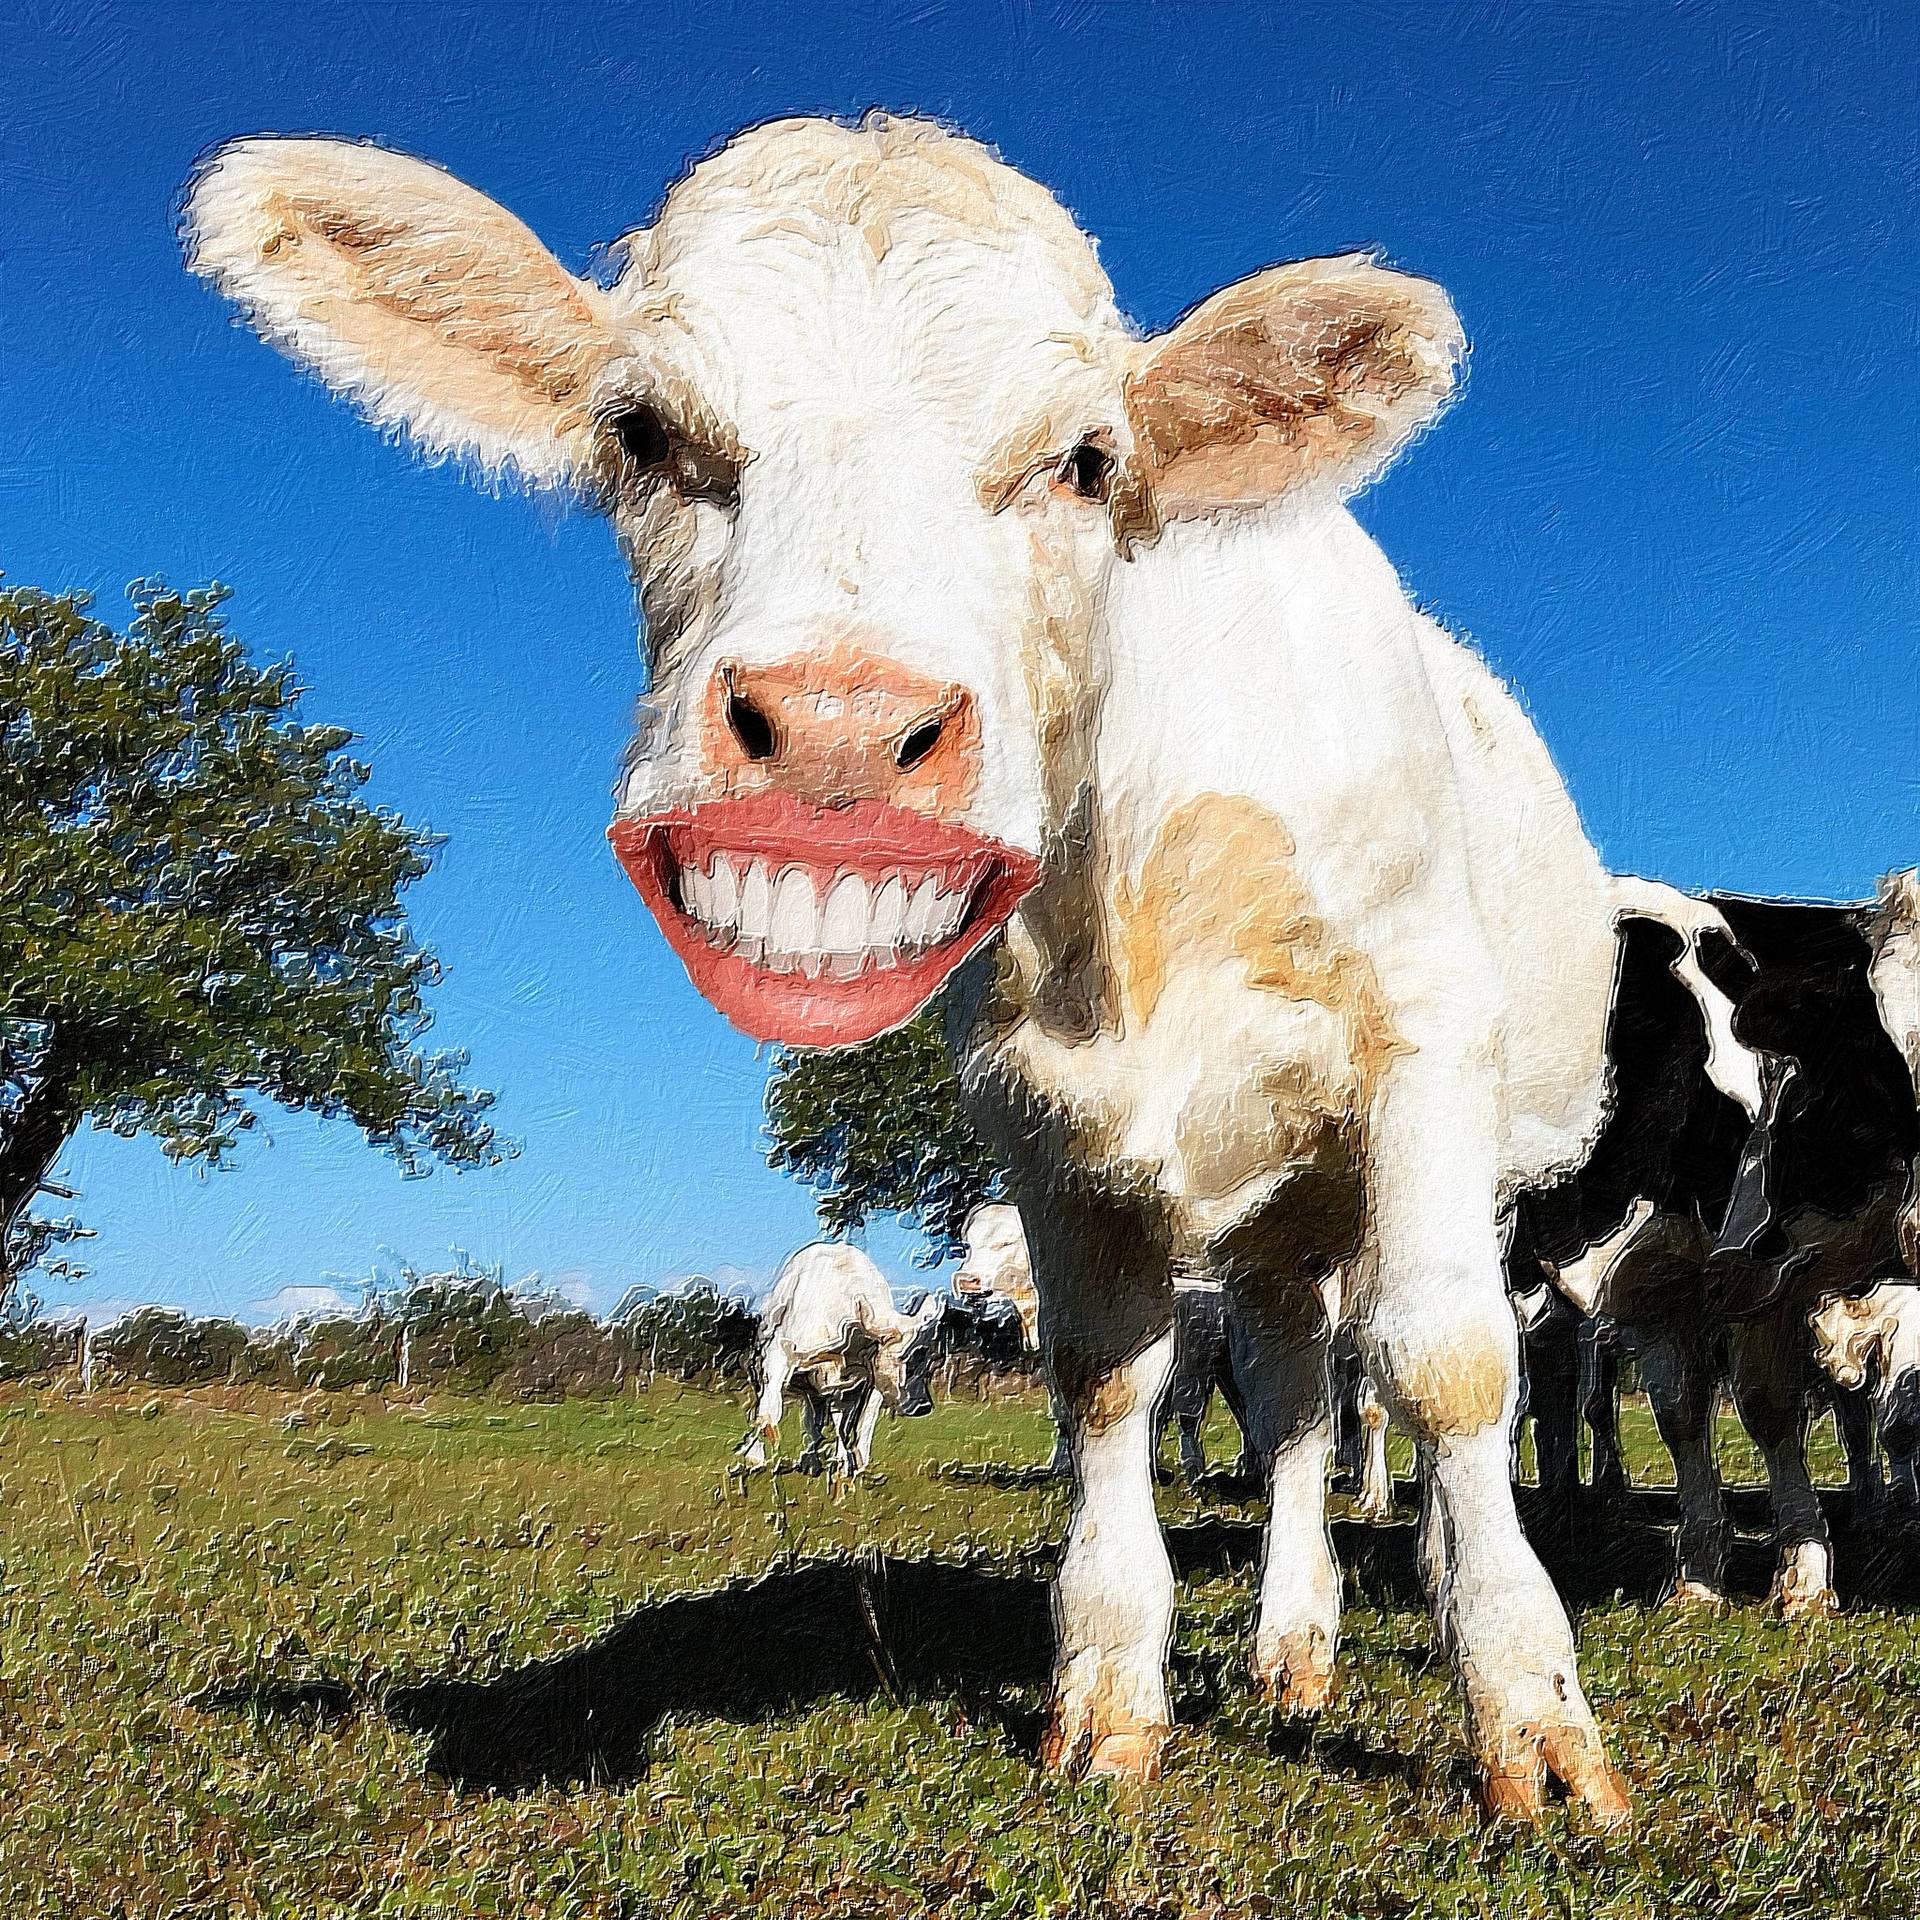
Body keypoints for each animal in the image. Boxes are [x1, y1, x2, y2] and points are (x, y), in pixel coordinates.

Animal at [743, 1242, 946, 1476]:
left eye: (928, 1362)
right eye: (903, 1358)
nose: (924, 1406)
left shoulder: (858, 1382)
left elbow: (850, 1423)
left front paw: (845, 1464)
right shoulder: (779, 1352)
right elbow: (770, 1409)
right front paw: (754, 1457)